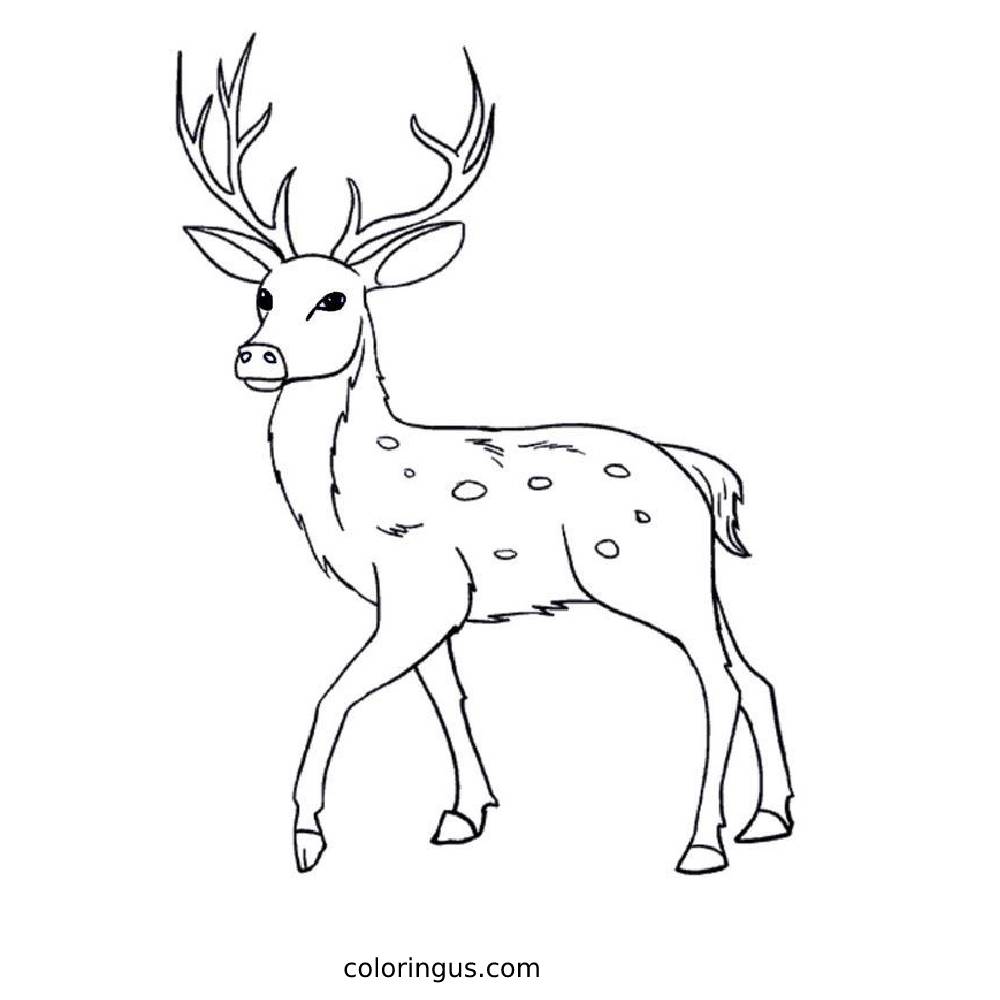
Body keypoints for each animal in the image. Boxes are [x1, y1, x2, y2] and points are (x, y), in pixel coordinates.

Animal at [175, 36, 794, 876]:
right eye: (264, 294)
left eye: (335, 299)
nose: (257, 356)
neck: (349, 494)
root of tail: (696, 468)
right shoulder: (428, 603)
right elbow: (444, 693)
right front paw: (465, 812)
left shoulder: (421, 586)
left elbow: (335, 693)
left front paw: (307, 836)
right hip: (697, 579)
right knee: (753, 674)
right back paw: (769, 817)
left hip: (648, 574)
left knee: (718, 684)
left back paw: (702, 843)